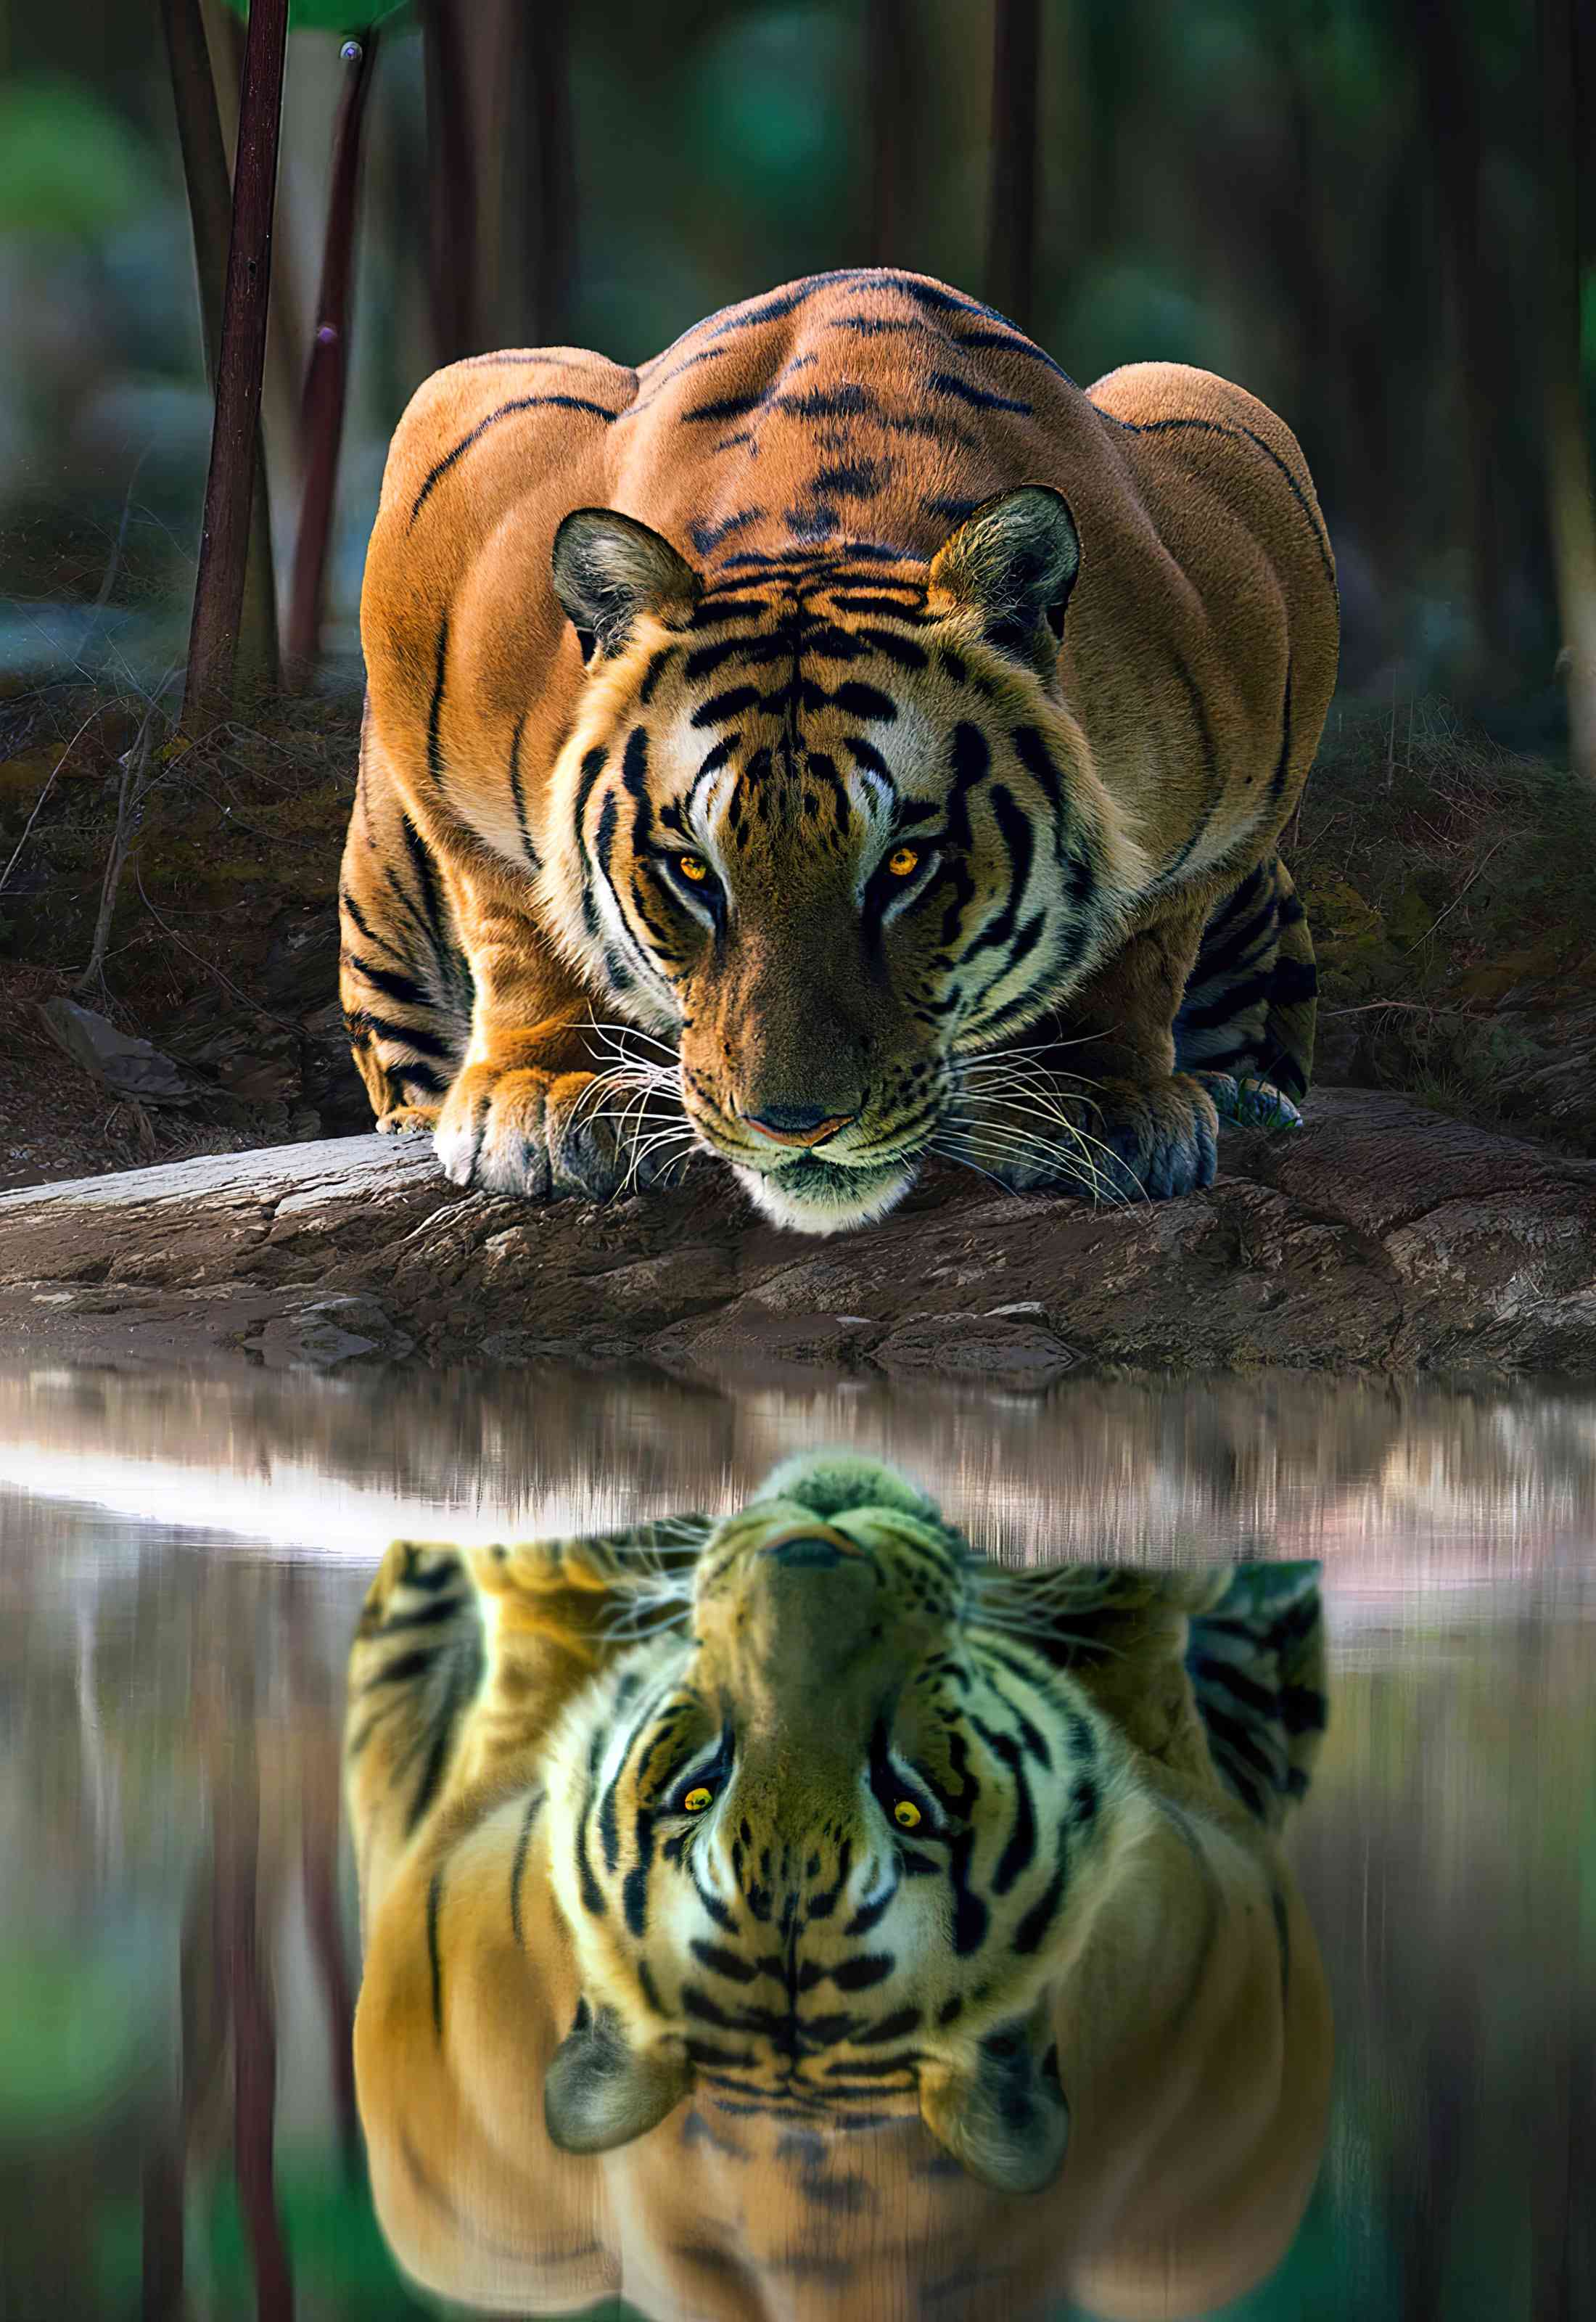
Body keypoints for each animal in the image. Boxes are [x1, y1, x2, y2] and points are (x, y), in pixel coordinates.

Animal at [339, 266, 1336, 1234]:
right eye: (692, 871)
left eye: (902, 865)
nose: (795, 1125)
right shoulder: (460, 453)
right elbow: (516, 913)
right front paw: (552, 1091)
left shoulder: (1248, 497)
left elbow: (1143, 939)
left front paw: (1094, 1097)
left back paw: (1247, 1096)